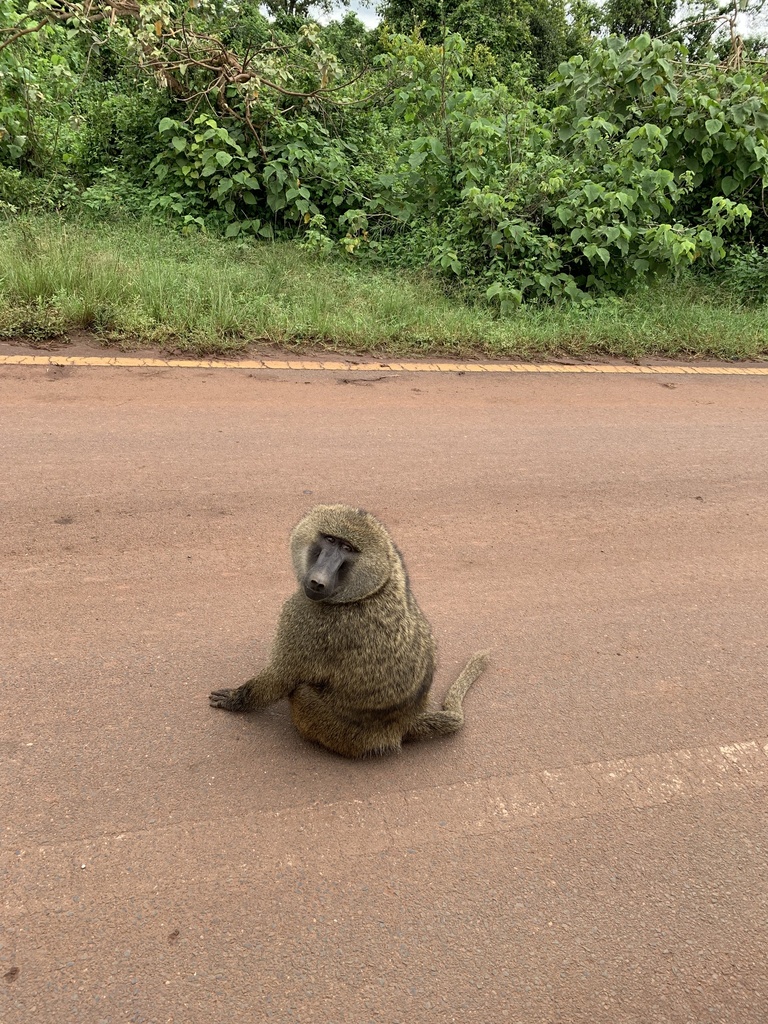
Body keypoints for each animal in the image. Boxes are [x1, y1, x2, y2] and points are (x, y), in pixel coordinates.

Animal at [209, 504, 488, 758]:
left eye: (348, 549)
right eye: (331, 540)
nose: (317, 582)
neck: (369, 590)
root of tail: (402, 725)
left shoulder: (305, 620)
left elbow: (281, 677)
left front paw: (236, 700)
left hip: (338, 732)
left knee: (300, 691)